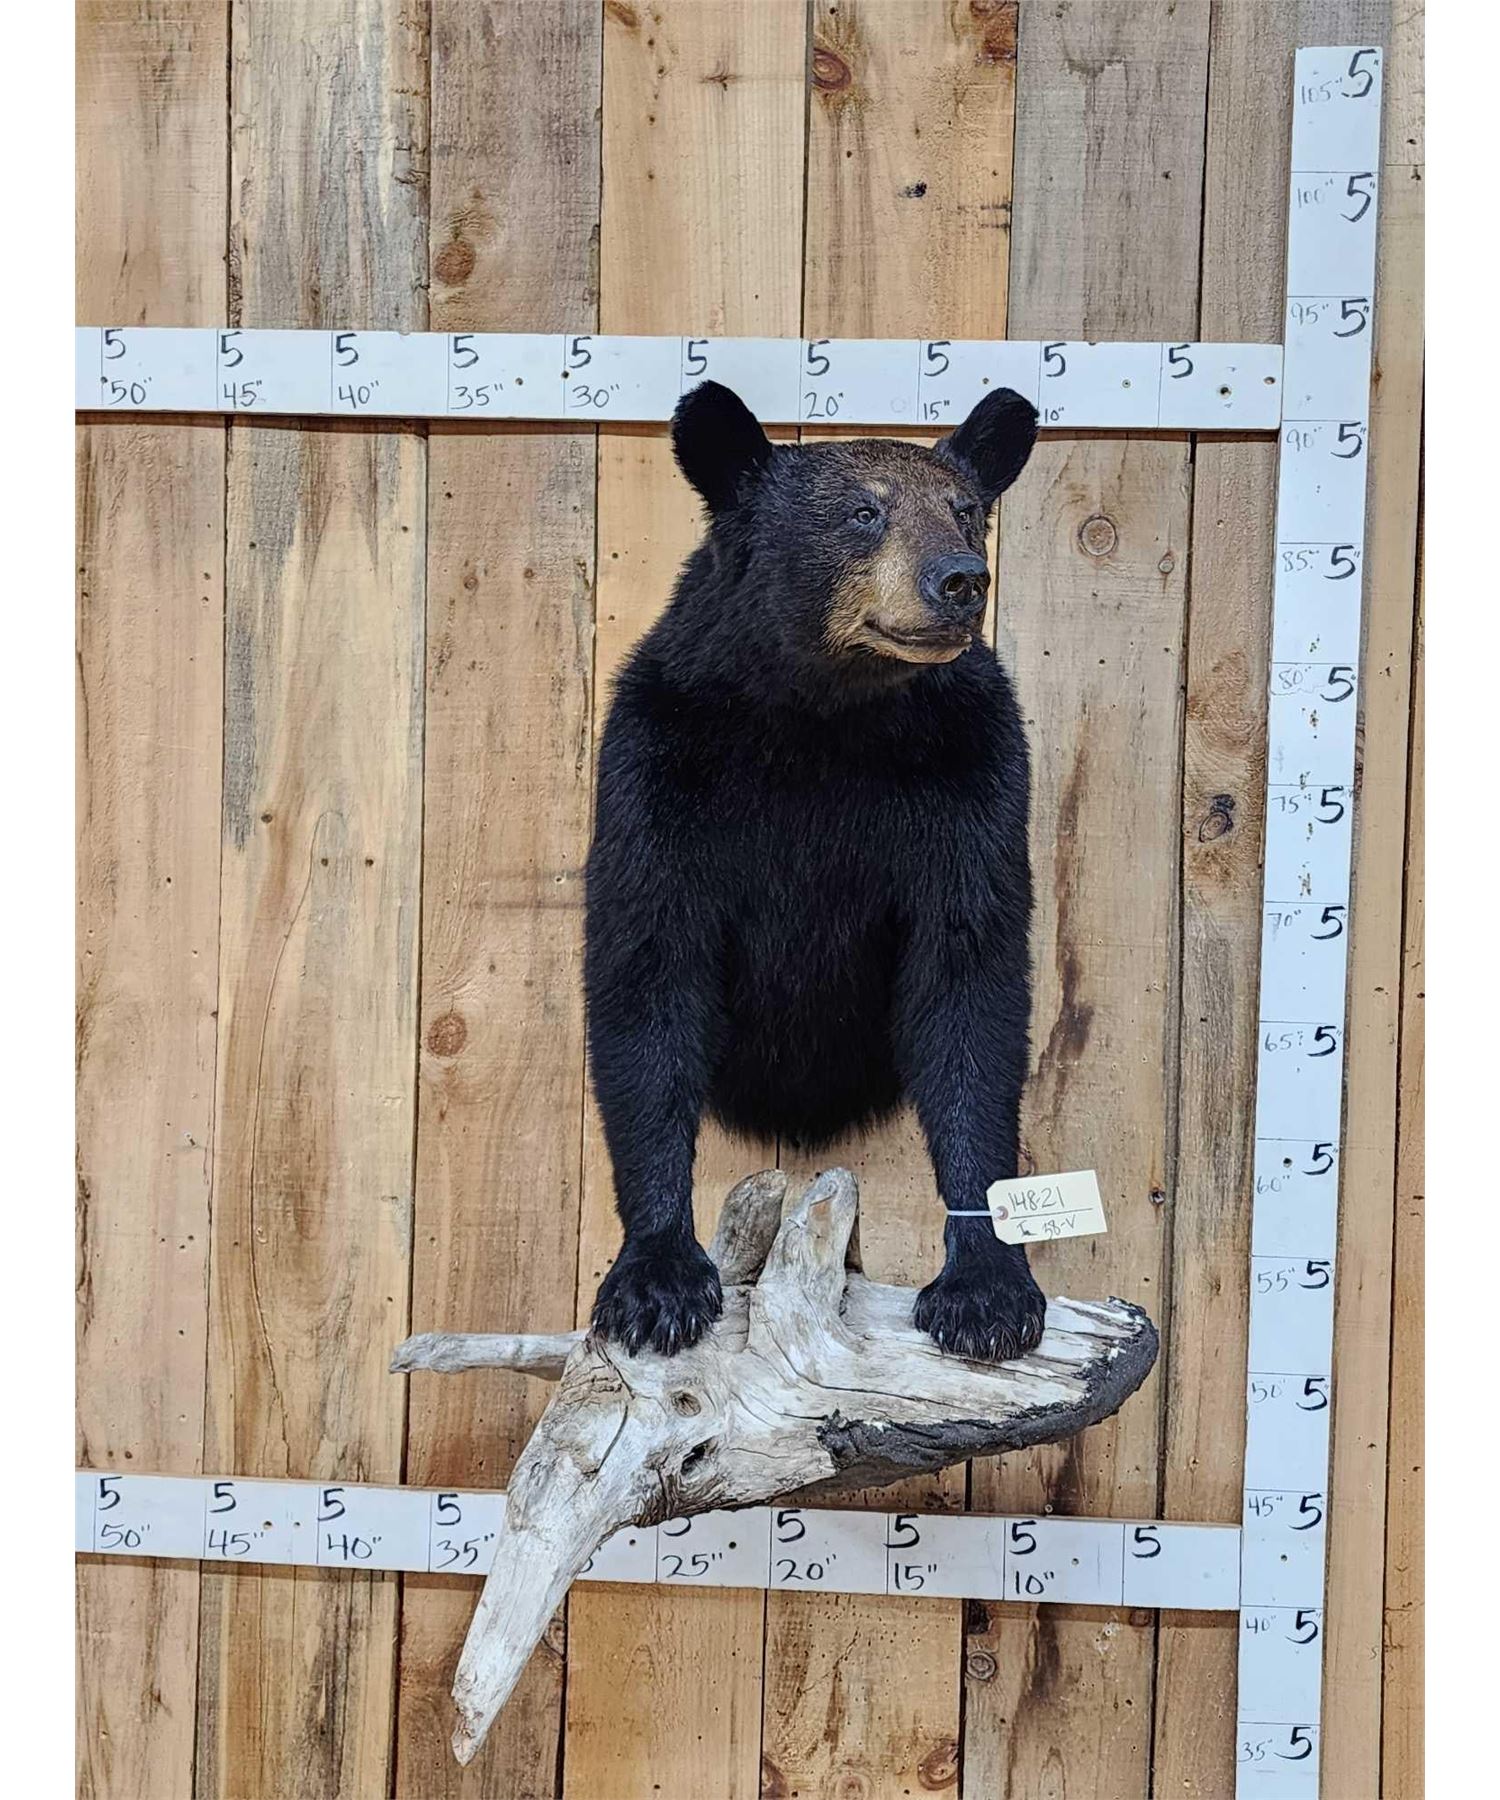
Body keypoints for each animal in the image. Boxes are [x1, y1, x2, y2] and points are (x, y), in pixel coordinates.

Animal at [583, 379, 1044, 1363]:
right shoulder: (661, 770)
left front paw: (986, 1288)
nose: (960, 580)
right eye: (864, 512)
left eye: (966, 509)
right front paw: (654, 1279)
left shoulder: (972, 774)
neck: (824, 715)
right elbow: (646, 973)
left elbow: (971, 980)